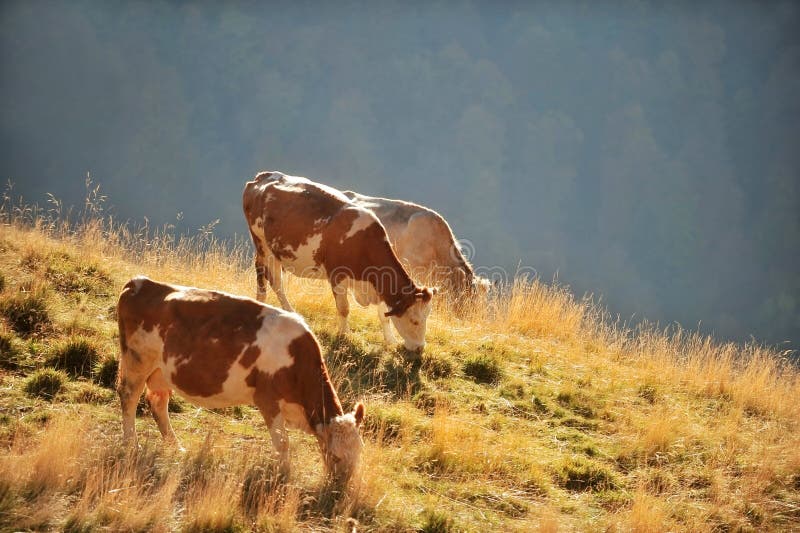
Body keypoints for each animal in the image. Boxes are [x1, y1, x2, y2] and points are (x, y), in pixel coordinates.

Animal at [116, 276, 364, 482]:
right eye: (335, 456)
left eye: (359, 452)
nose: (340, 488)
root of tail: (139, 282)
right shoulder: (267, 399)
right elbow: (283, 443)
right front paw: (285, 473)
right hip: (137, 361)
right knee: (129, 397)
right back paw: (132, 445)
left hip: (162, 371)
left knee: (158, 402)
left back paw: (176, 446)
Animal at [242, 171, 437, 351]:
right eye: (414, 321)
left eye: (427, 316)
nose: (420, 348)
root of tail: (264, 176)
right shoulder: (337, 275)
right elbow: (344, 308)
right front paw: (345, 335)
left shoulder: (378, 284)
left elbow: (383, 314)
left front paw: (390, 340)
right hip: (262, 244)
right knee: (270, 279)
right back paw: (286, 311)